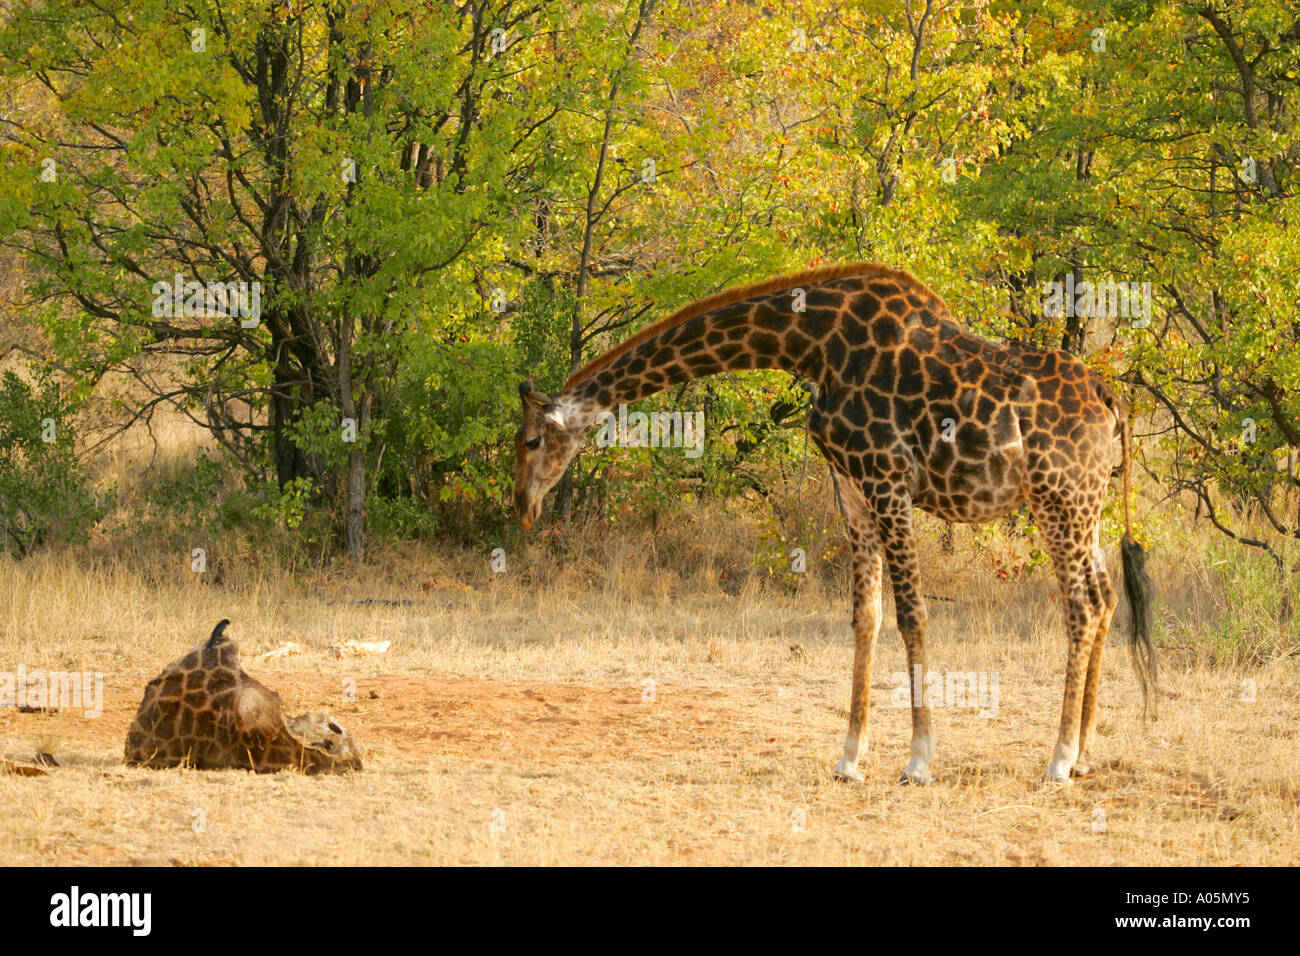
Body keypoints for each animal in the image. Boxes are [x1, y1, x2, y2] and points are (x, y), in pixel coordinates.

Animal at [513, 262, 1156, 785]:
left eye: (531, 440)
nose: (522, 504)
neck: (812, 344)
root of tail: (1111, 398)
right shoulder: (852, 488)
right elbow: (865, 617)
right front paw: (850, 758)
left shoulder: (888, 477)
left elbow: (912, 615)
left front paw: (918, 760)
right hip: (1086, 504)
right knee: (1105, 596)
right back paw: (1085, 754)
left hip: (1057, 496)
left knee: (1082, 604)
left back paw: (1059, 760)